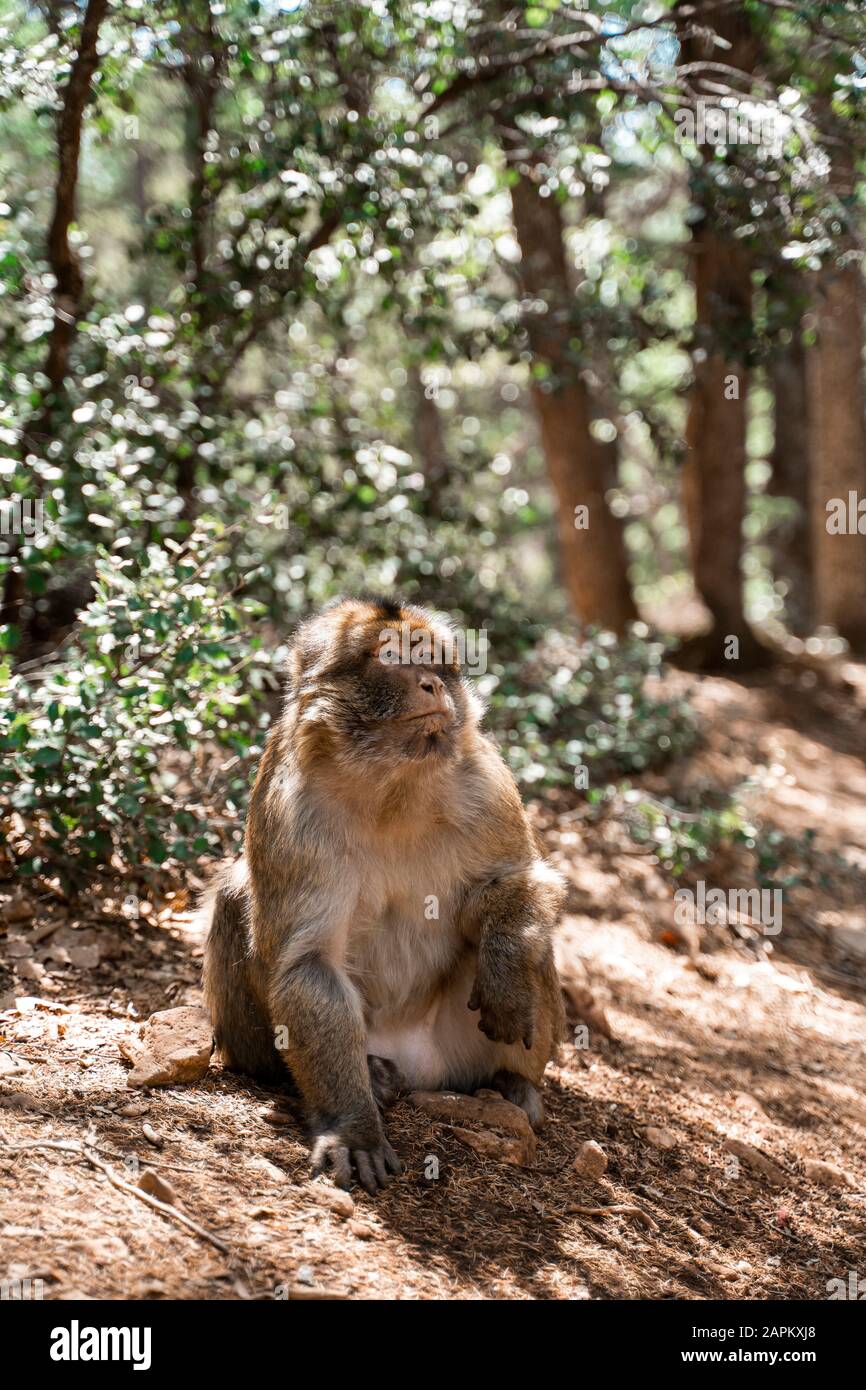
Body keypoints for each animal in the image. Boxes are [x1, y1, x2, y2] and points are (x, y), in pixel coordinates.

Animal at [201, 596, 565, 1195]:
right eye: (392, 658)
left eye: (435, 661)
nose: (432, 685)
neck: (391, 781)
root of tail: (420, 1066)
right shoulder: (291, 805)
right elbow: (308, 963)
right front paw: (355, 1127)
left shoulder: (485, 780)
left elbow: (518, 880)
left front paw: (507, 969)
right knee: (235, 898)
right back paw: (366, 1078)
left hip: (457, 1049)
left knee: (535, 943)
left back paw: (513, 1083)